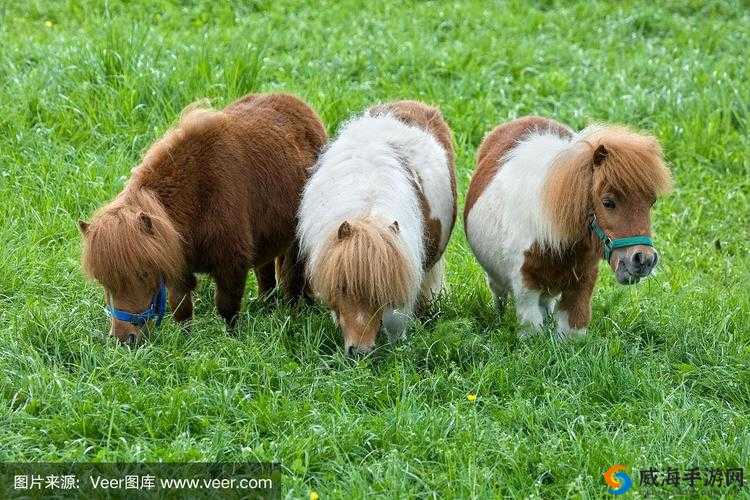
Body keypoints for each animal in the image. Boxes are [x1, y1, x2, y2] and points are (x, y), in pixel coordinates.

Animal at [79, 93, 326, 344]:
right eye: (103, 281)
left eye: (143, 273)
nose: (124, 339)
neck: (197, 198)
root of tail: (298, 104)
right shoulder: (177, 265)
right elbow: (181, 309)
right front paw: (185, 342)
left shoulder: (231, 265)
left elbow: (227, 309)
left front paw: (232, 341)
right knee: (266, 275)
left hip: (296, 241)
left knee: (293, 277)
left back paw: (295, 314)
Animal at [298, 100, 456, 356]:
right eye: (343, 287)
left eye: (381, 292)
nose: (360, 351)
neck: (368, 210)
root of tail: (415, 104)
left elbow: (395, 318)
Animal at [464, 117, 672, 339]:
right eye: (608, 202)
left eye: (651, 202)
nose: (644, 260)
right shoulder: (526, 287)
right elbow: (532, 330)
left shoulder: (581, 285)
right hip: (497, 279)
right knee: (500, 297)